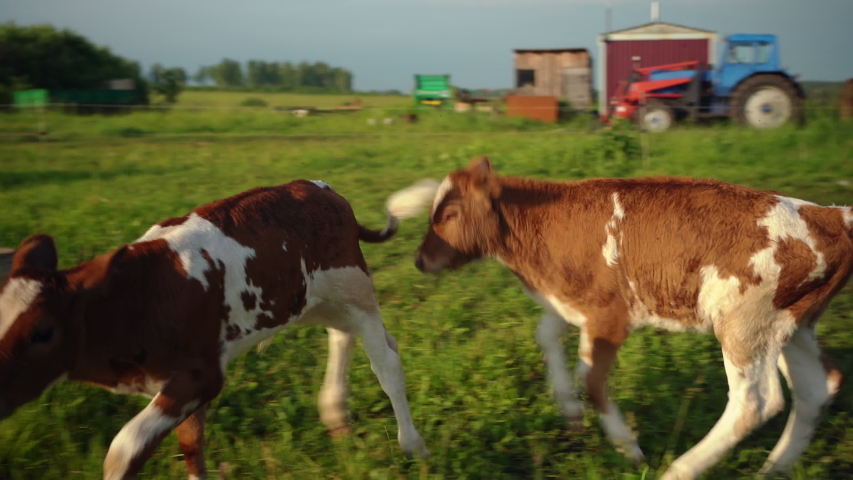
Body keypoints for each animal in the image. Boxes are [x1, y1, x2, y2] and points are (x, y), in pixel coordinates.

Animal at [0, 178, 439, 480]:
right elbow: (191, 445)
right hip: (309, 302)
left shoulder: (201, 376)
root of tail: (321, 190)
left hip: (354, 287)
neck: (136, 296)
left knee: (386, 363)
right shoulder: (182, 384)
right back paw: (335, 413)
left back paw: (413, 445)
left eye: (42, 332)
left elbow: (125, 448)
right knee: (346, 336)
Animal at [405, 156, 853, 480]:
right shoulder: (571, 304)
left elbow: (591, 379)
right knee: (818, 387)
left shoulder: (609, 314)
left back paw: (680, 470)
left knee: (756, 402)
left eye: (449, 214)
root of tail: (829, 215)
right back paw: (773, 469)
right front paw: (569, 410)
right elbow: (546, 336)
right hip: (790, 326)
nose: (419, 260)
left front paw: (628, 447)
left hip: (744, 323)